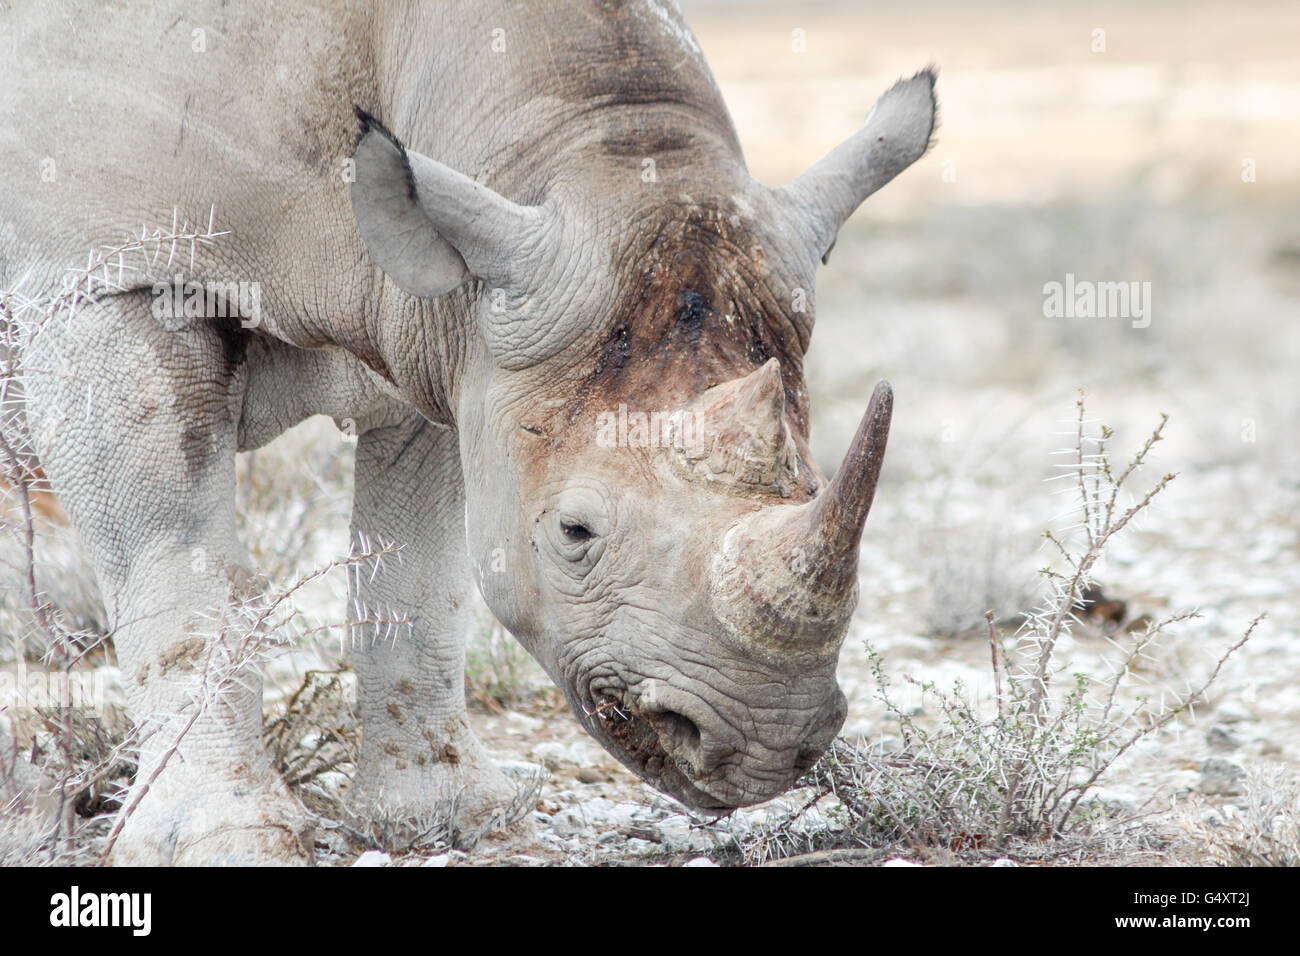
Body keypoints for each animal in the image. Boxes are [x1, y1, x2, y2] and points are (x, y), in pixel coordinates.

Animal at [0, 0, 935, 863]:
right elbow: (183, 574)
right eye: (575, 533)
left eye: (809, 485)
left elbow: (419, 579)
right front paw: (225, 838)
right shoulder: (110, 280)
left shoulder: (449, 330)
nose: (766, 744)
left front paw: (445, 815)